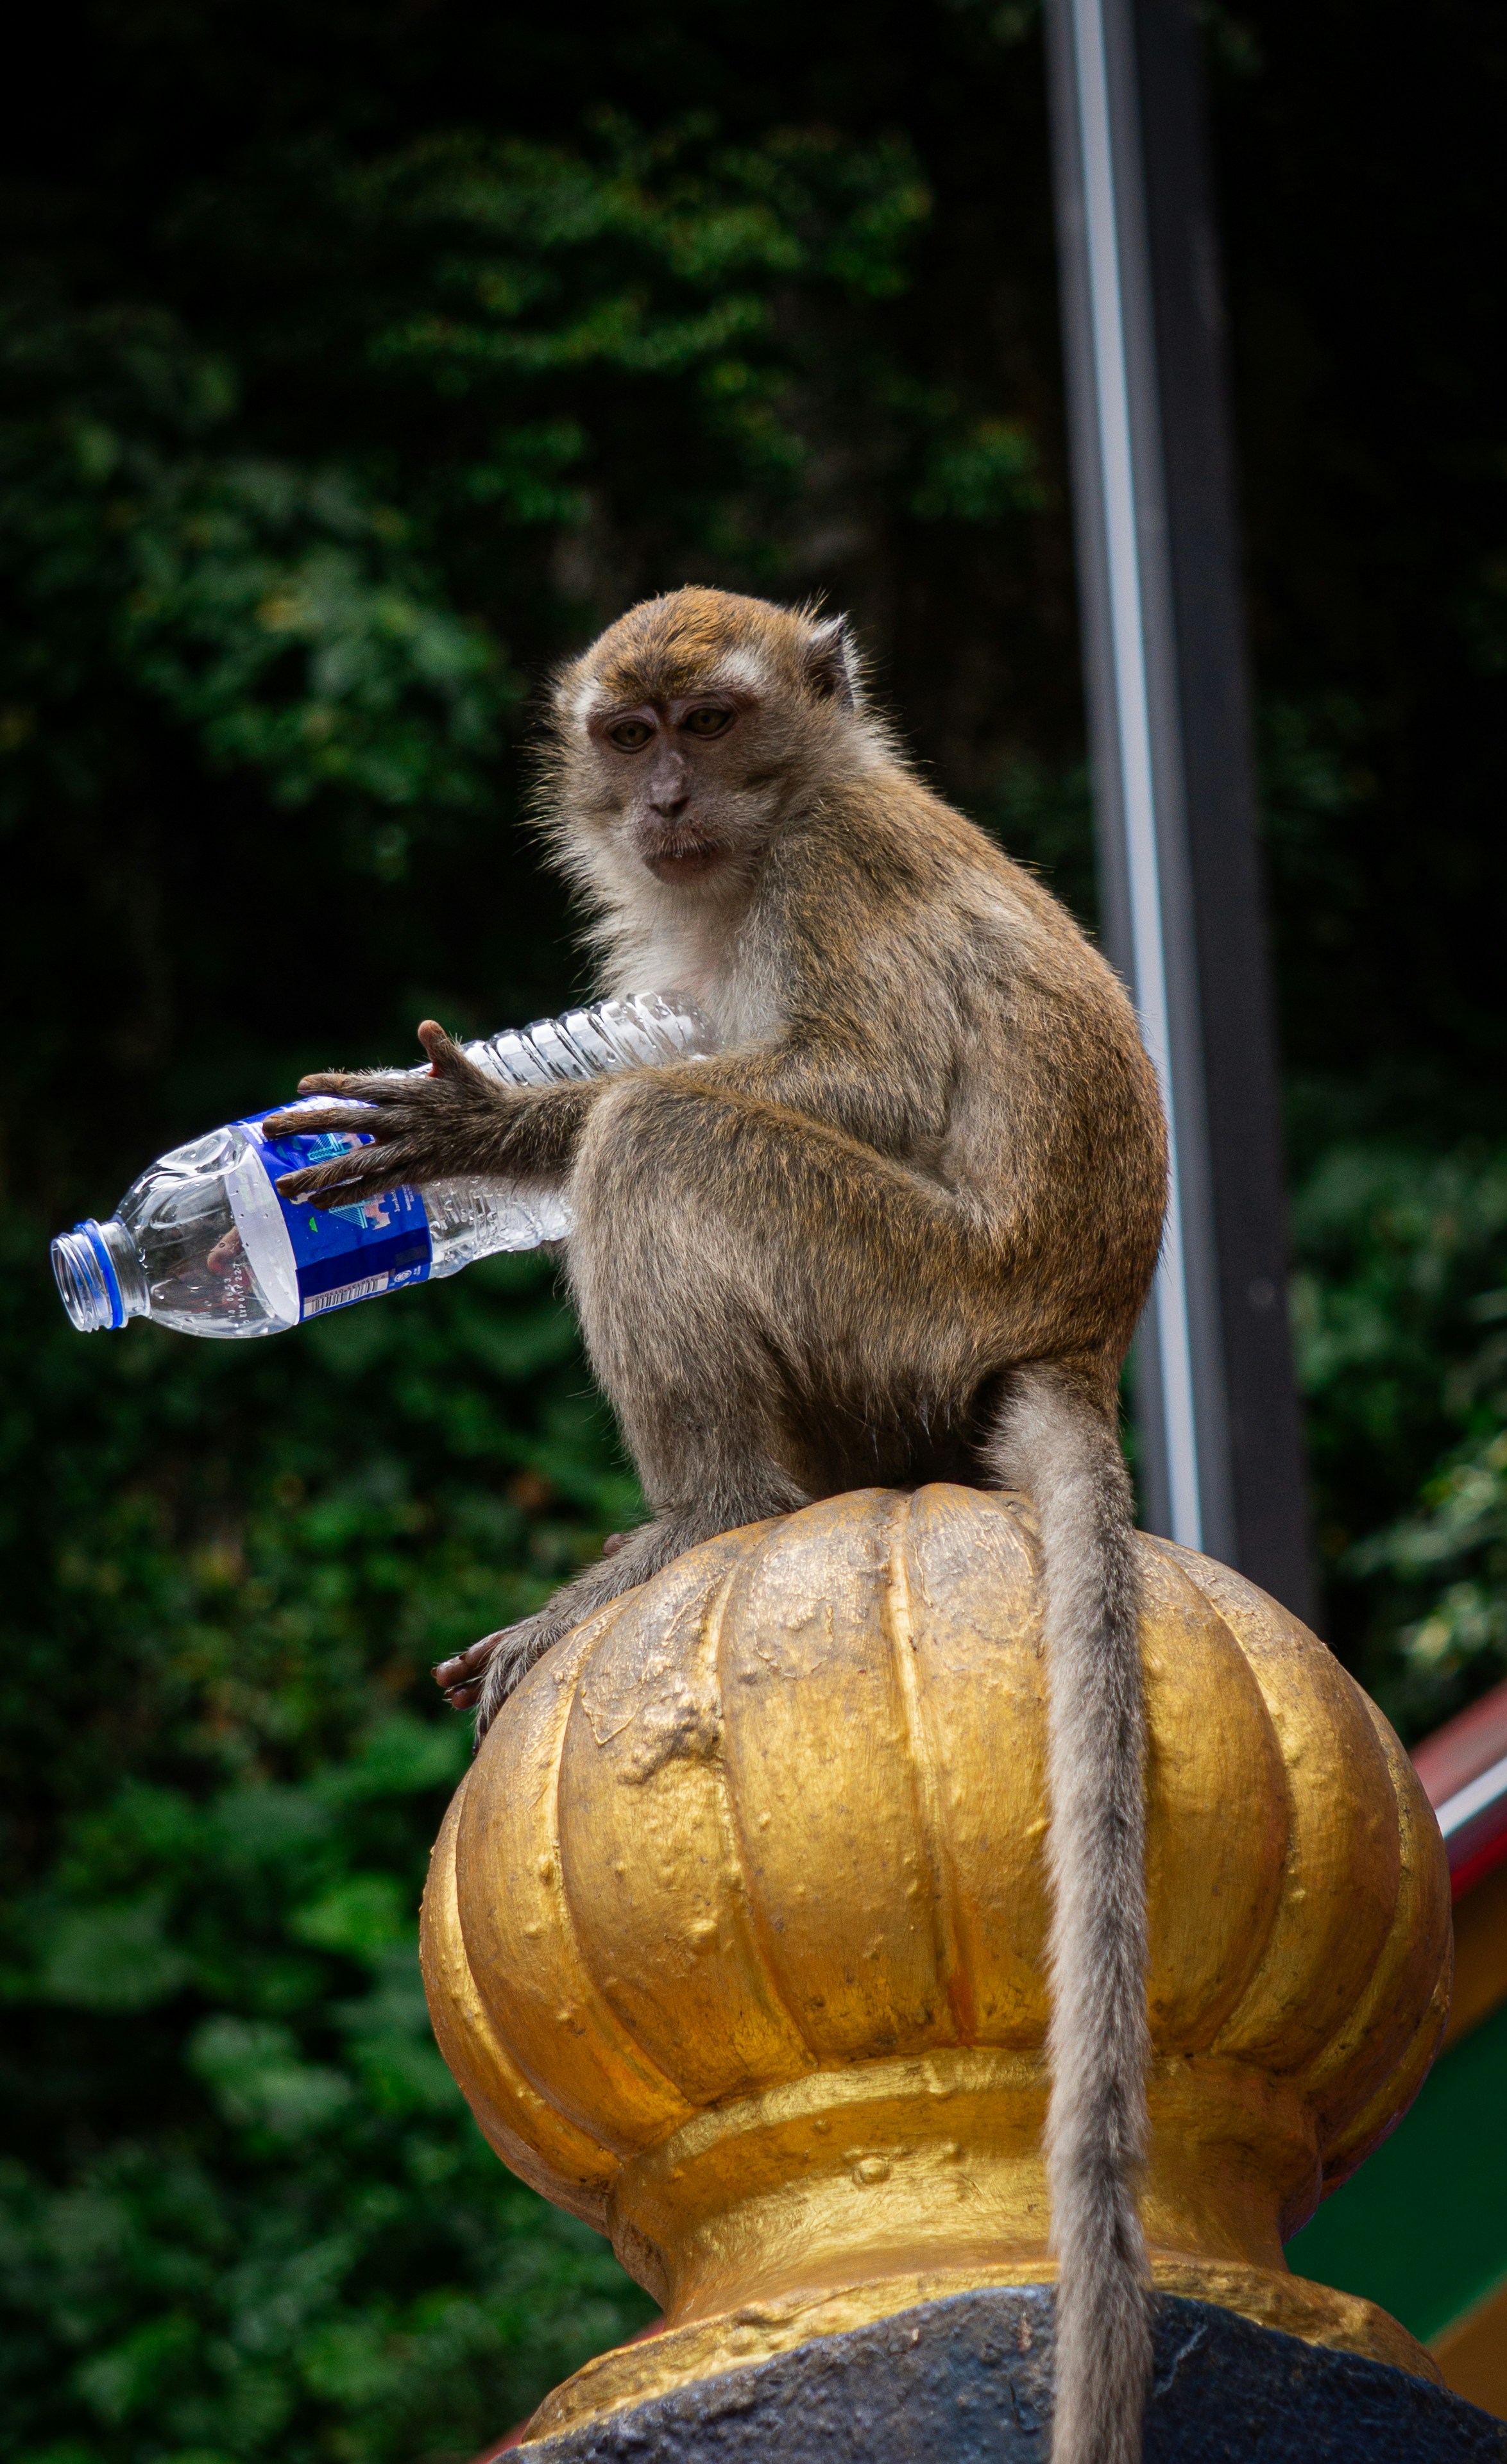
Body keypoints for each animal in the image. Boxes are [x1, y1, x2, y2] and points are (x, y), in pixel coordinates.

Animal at [266, 586, 1167, 2464]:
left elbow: (860, 1082)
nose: (667, 796)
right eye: (630, 735)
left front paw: (495, 1123)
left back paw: (706, 1508)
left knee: (670, 1127)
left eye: (712, 721)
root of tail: (1068, 1335)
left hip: (901, 1295)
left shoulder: (832, 874)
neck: (765, 839)